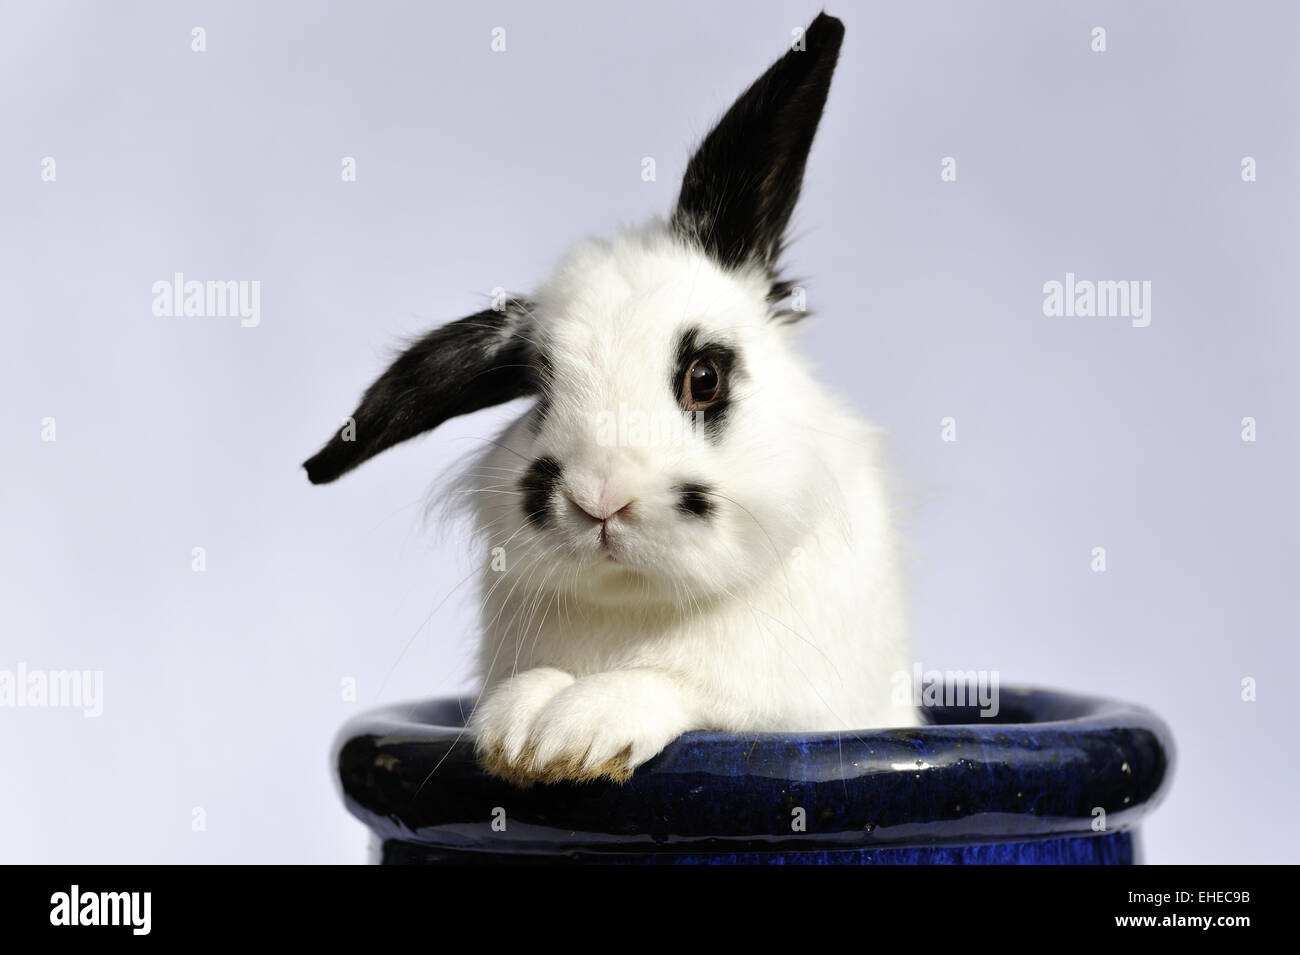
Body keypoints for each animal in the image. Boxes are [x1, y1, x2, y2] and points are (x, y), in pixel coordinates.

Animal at [304, 12, 917, 786]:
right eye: (539, 390)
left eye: (705, 377)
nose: (600, 497)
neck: (640, 605)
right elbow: (530, 687)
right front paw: (519, 736)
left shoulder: (784, 706)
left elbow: (673, 685)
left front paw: (574, 735)